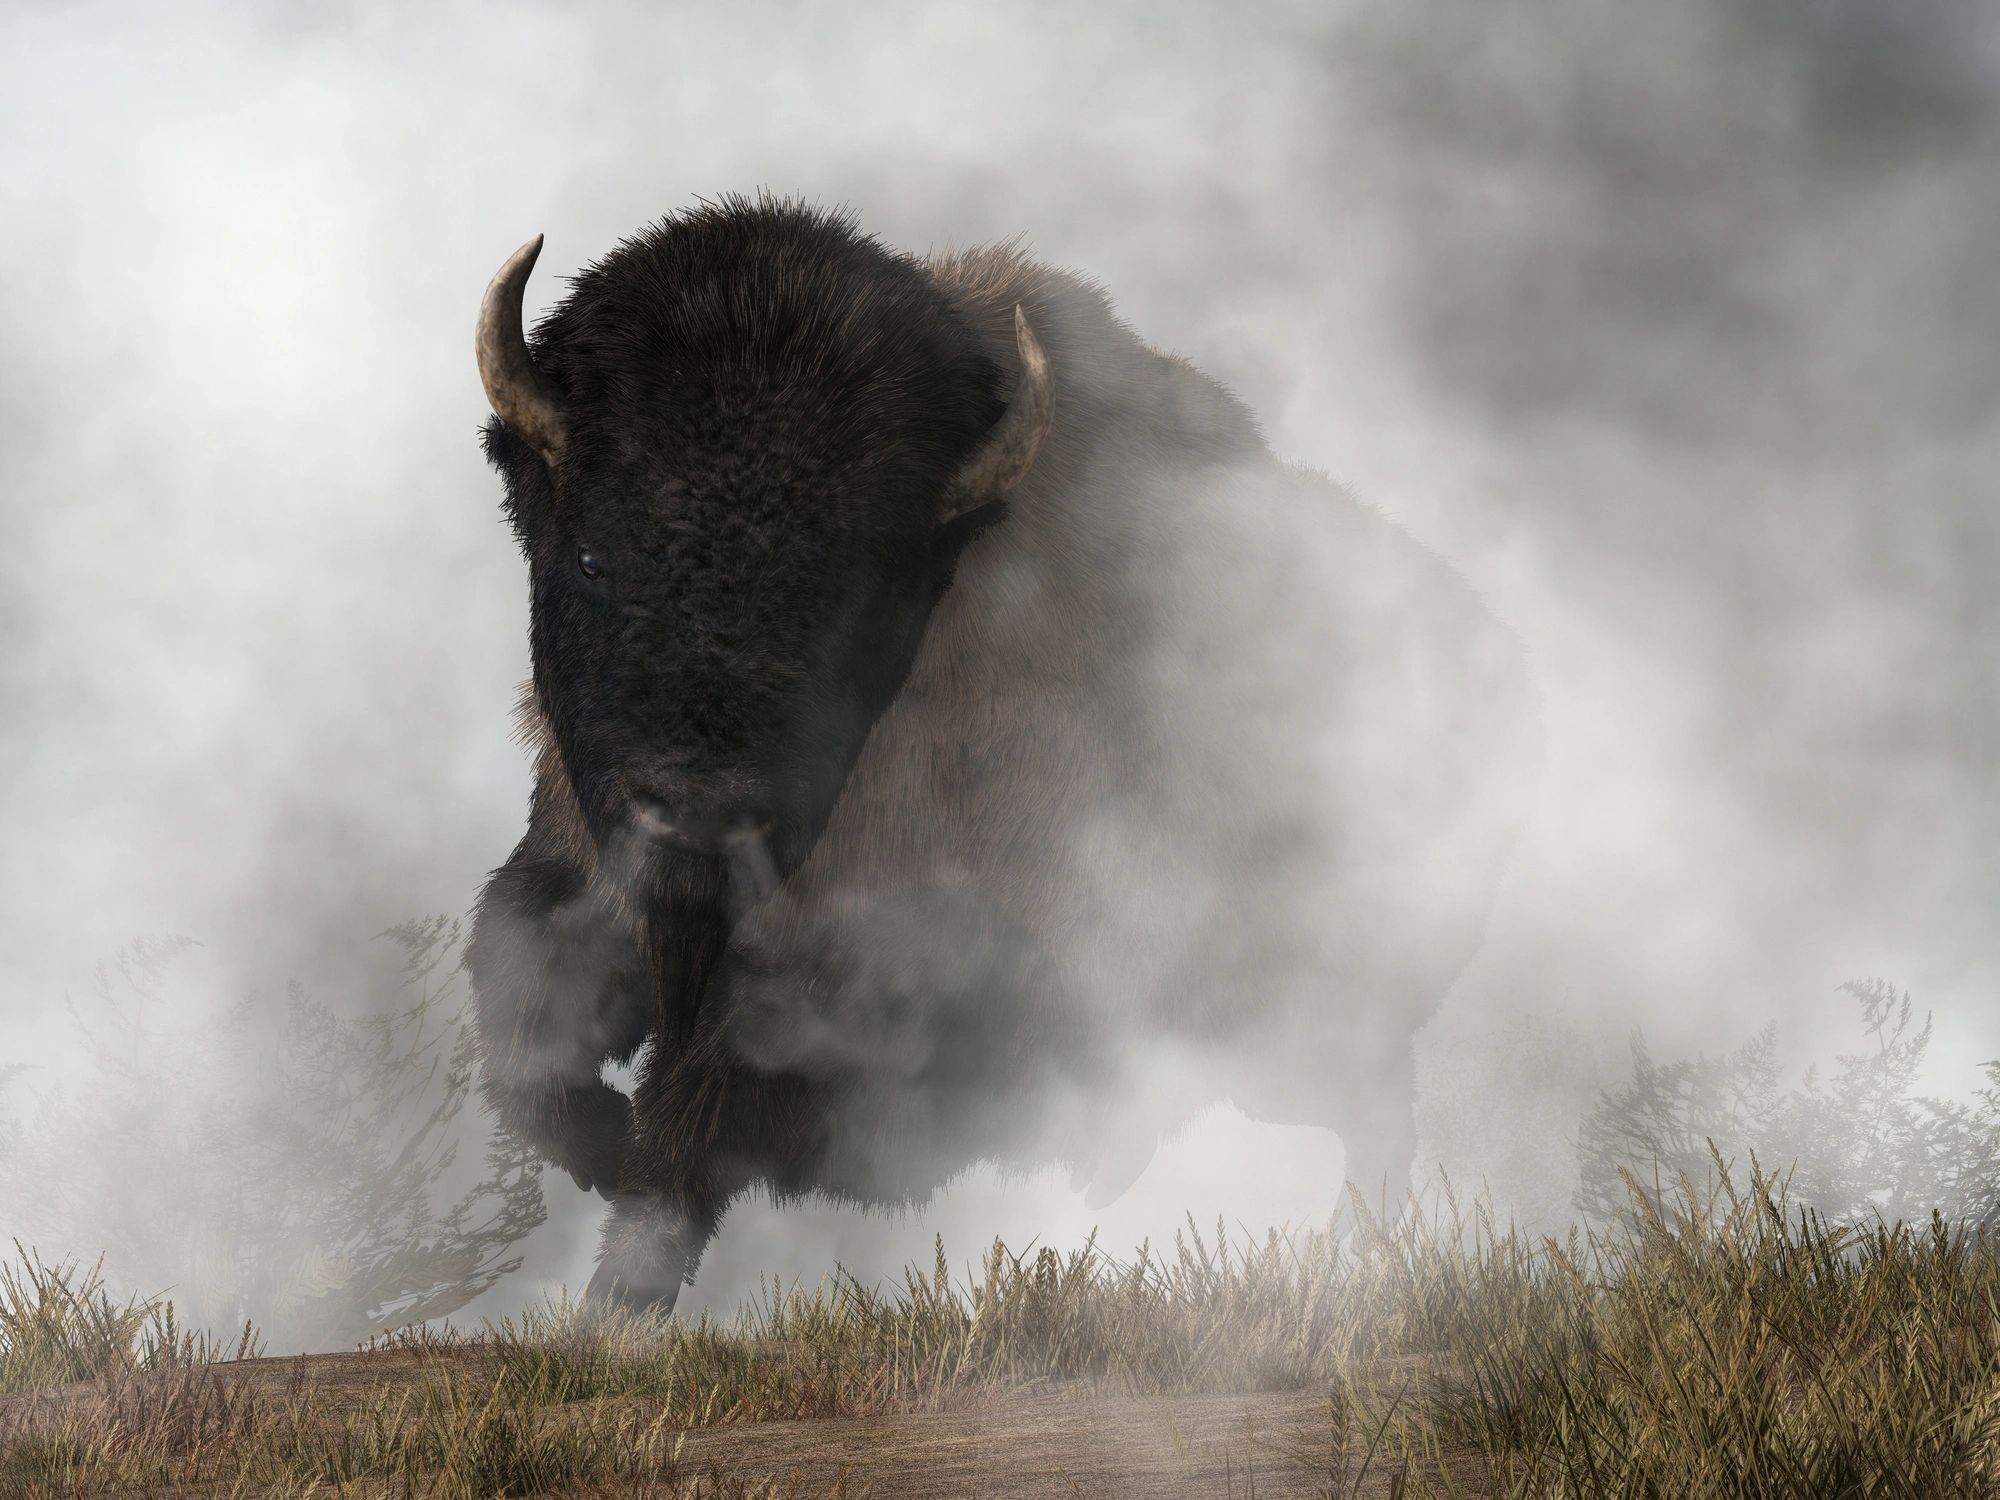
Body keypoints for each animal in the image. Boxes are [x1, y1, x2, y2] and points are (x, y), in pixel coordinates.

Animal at [464, 196, 1538, 1311]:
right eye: (592, 555)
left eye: (859, 600)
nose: (696, 818)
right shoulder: (571, 875)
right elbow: (526, 1030)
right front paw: (597, 1152)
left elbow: (689, 1136)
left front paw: (611, 1302)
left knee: (1372, 1115)